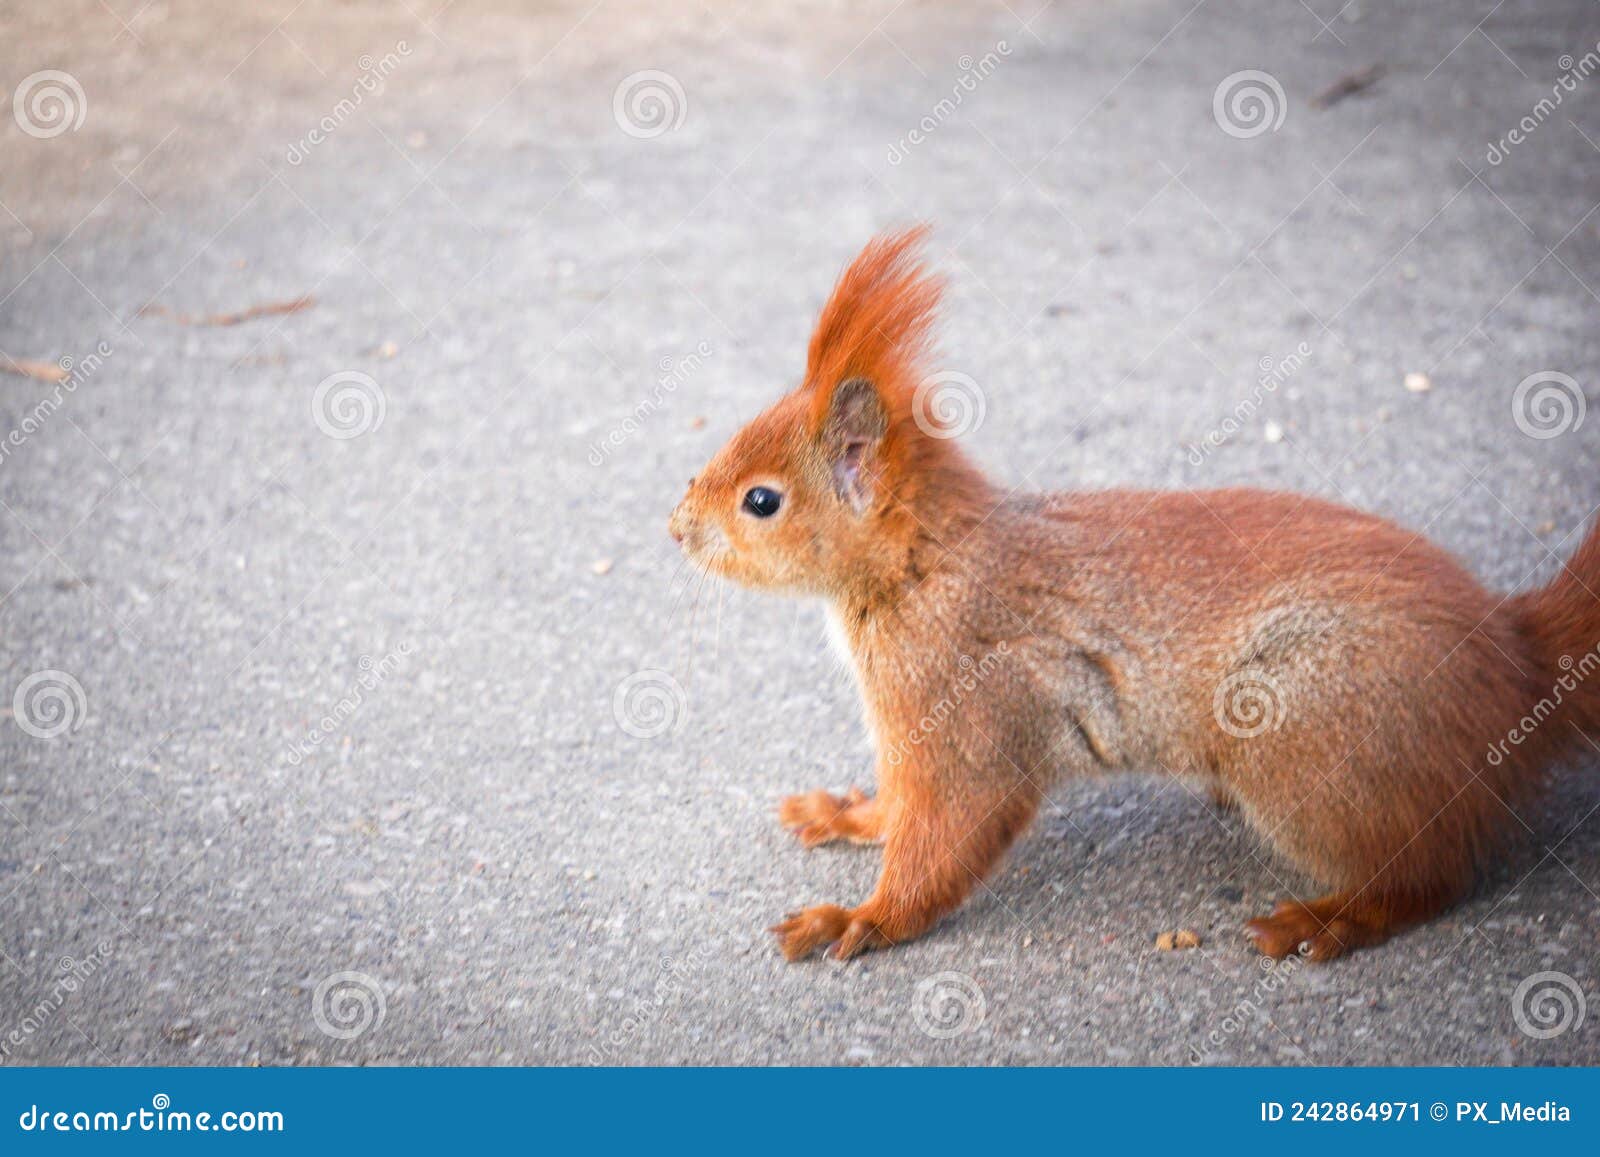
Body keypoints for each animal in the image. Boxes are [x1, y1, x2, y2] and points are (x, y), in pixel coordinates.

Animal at [667, 226, 1600, 963]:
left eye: (761, 500)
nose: (675, 527)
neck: (924, 565)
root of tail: (1517, 662)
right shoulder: (910, 736)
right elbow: (898, 806)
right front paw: (847, 813)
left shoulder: (966, 707)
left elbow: (946, 831)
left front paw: (859, 918)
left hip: (1303, 737)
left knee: (1434, 869)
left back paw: (1330, 919)